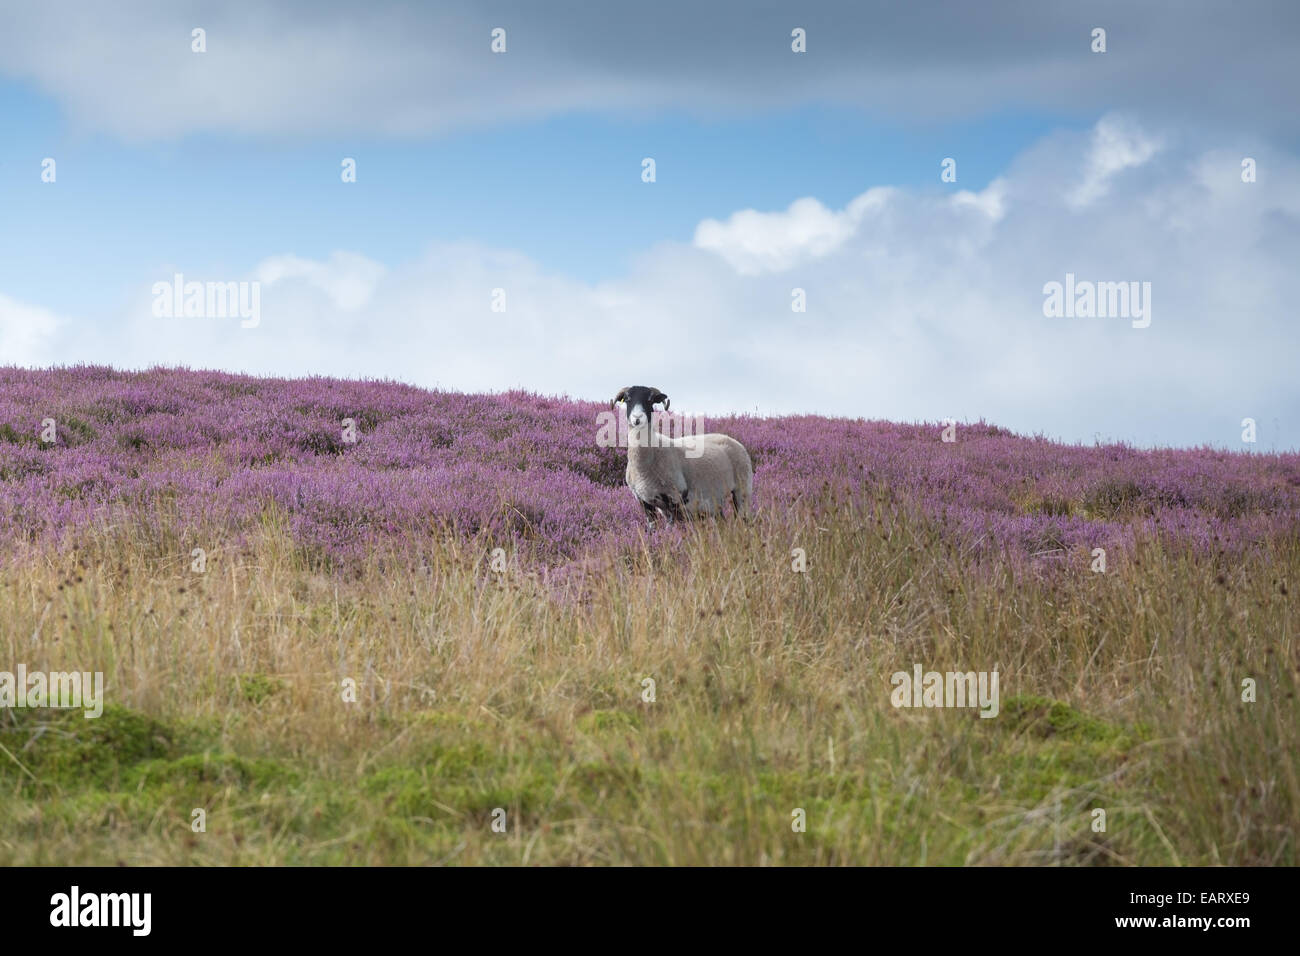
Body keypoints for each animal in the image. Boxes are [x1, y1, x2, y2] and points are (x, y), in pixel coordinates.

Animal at [610, 385, 753, 527]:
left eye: (650, 399)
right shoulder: (644, 502)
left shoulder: (674, 498)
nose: (637, 418)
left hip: (742, 489)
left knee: (744, 518)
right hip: (716, 501)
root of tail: (734, 440)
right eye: (627, 399)